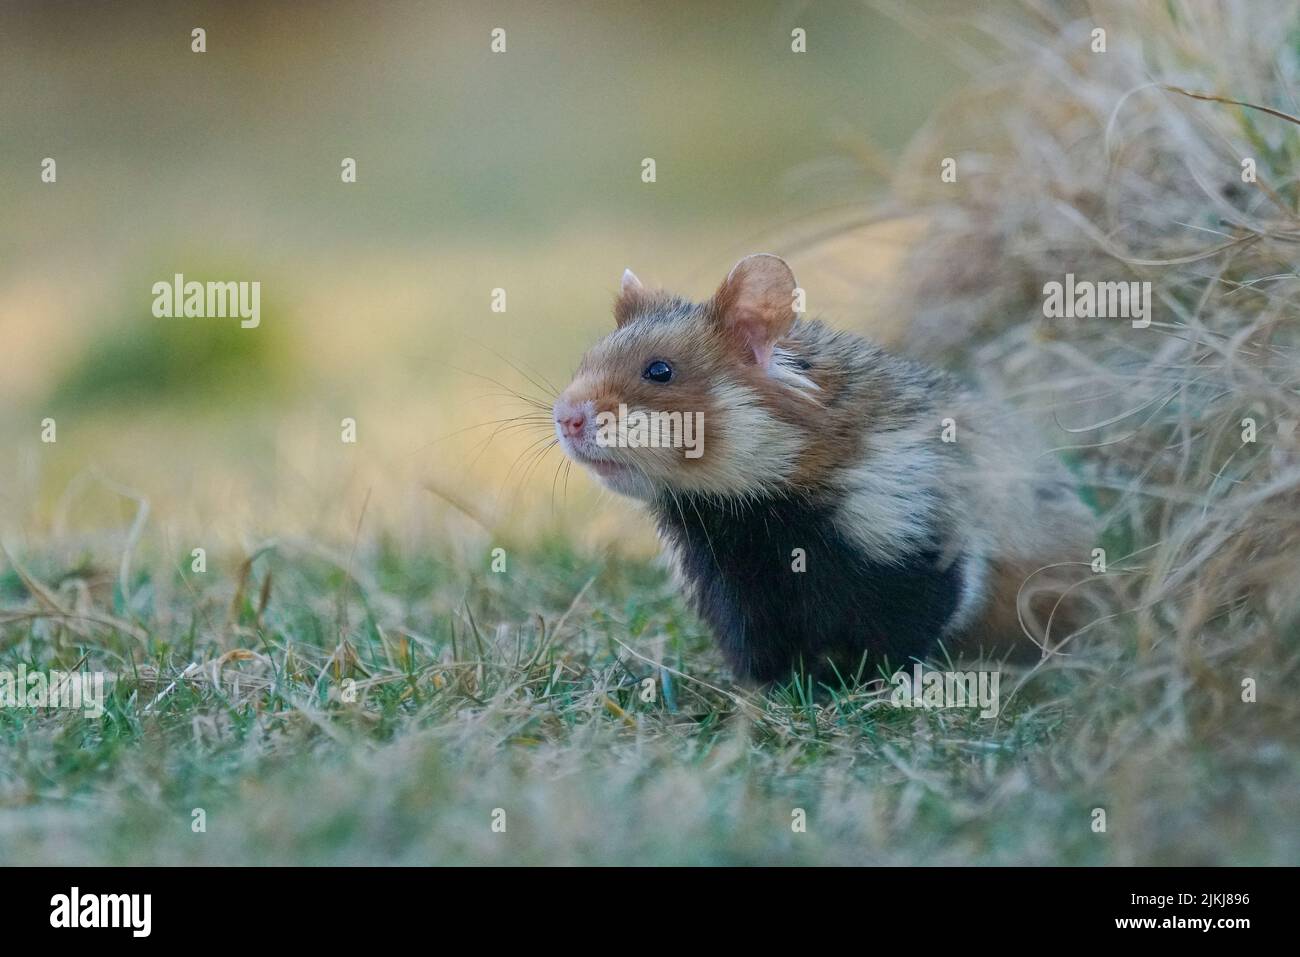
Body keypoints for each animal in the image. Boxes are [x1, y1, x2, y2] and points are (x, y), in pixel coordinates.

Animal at [553, 254, 1095, 685]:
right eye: (587, 359)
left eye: (660, 370)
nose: (564, 417)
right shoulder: (732, 591)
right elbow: (759, 653)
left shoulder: (916, 549)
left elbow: (900, 640)